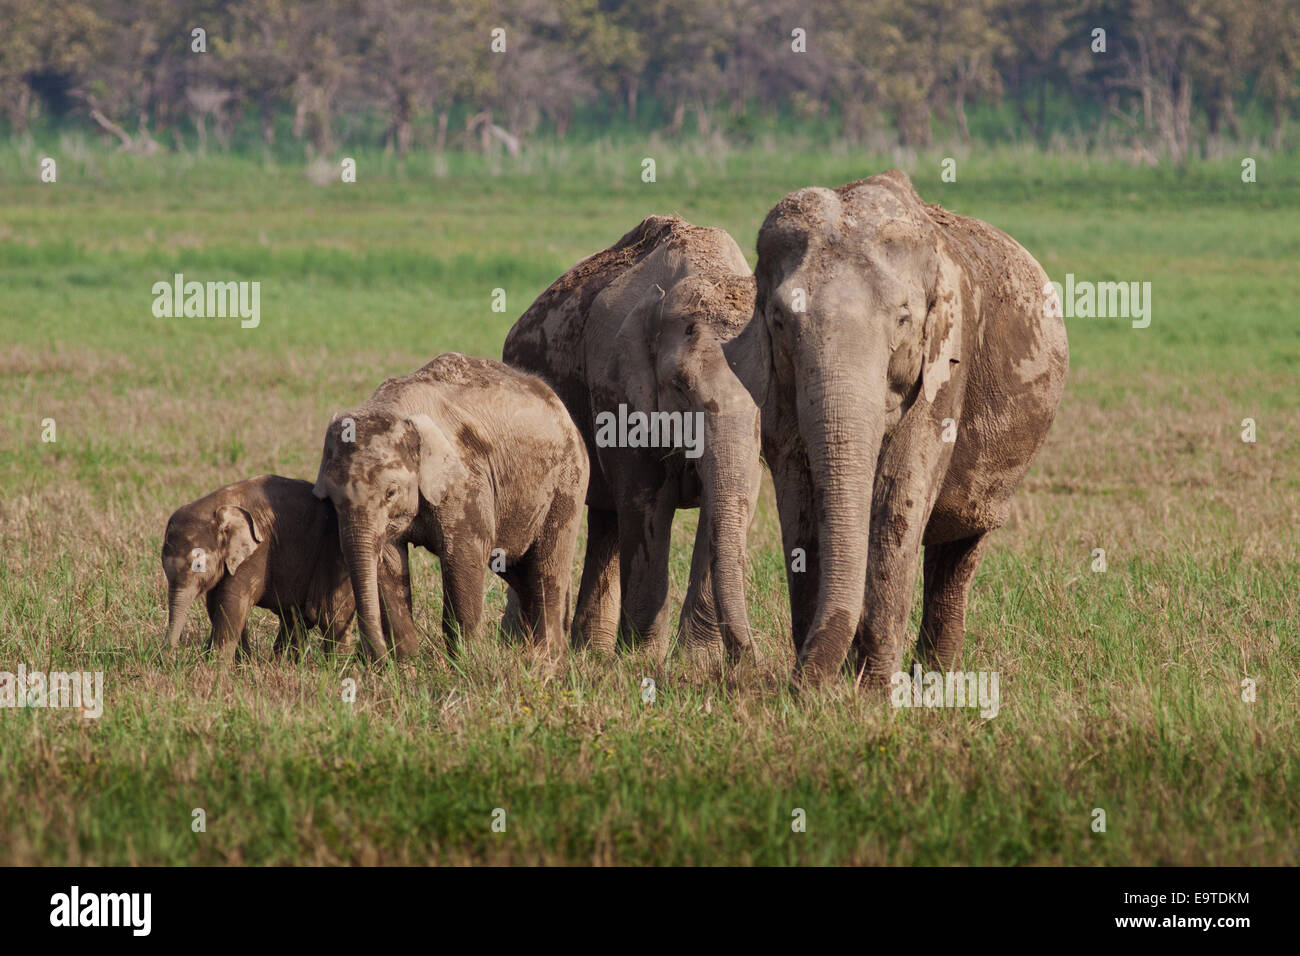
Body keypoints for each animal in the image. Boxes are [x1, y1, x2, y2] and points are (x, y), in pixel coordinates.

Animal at [161, 474, 415, 661]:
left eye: (198, 565)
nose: (168, 659)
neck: (218, 506)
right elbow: (215, 603)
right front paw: (239, 666)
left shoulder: (258, 552)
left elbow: (232, 601)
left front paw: (217, 669)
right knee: (296, 618)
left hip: (335, 556)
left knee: (328, 613)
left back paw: (337, 669)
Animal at [312, 352, 589, 662]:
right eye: (330, 500)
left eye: (391, 492)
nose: (372, 659)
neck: (396, 408)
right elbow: (388, 562)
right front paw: (406, 665)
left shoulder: (466, 479)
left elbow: (465, 556)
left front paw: (468, 663)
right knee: (519, 570)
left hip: (568, 479)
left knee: (547, 568)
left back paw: (546, 660)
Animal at [502, 216, 769, 664]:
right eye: (680, 386)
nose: (750, 659)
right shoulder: (618, 391)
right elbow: (647, 504)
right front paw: (643, 661)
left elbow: (733, 503)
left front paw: (697, 663)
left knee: (606, 521)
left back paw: (589, 652)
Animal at [754, 170, 1068, 688]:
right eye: (778, 321)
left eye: (903, 319)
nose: (799, 686)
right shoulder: (775, 386)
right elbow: (798, 499)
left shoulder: (948, 359)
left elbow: (896, 495)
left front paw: (872, 692)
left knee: (960, 547)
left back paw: (935, 682)